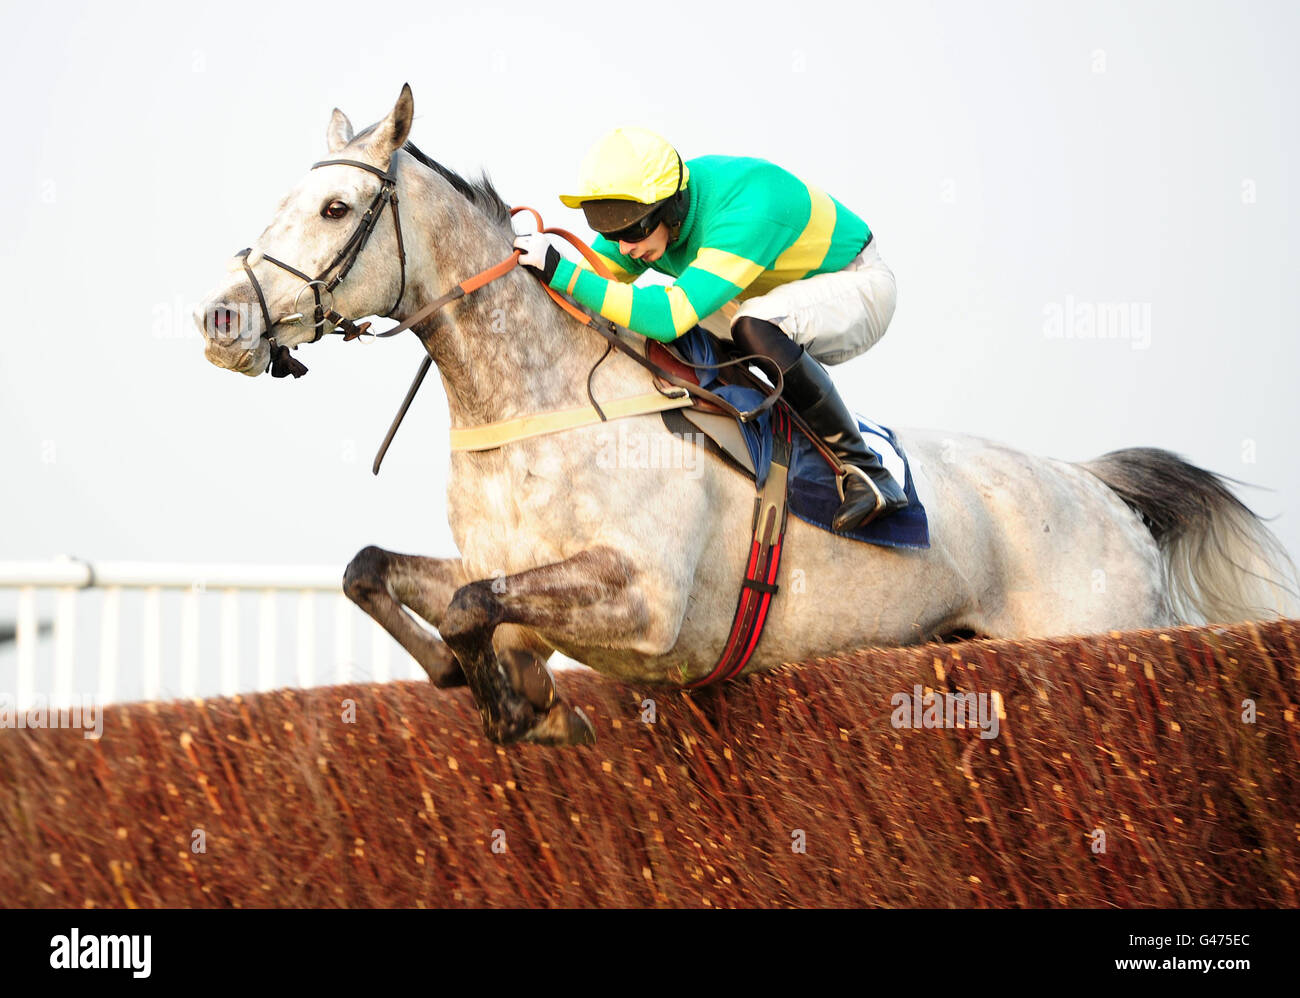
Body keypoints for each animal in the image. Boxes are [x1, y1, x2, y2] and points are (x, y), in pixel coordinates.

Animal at [195, 84, 1298, 747]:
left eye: (336, 211)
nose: (221, 319)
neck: (535, 406)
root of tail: (1097, 487)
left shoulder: (643, 600)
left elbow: (472, 606)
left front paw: (524, 700)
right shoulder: (507, 562)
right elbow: (376, 570)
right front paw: (473, 676)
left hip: (1099, 631)